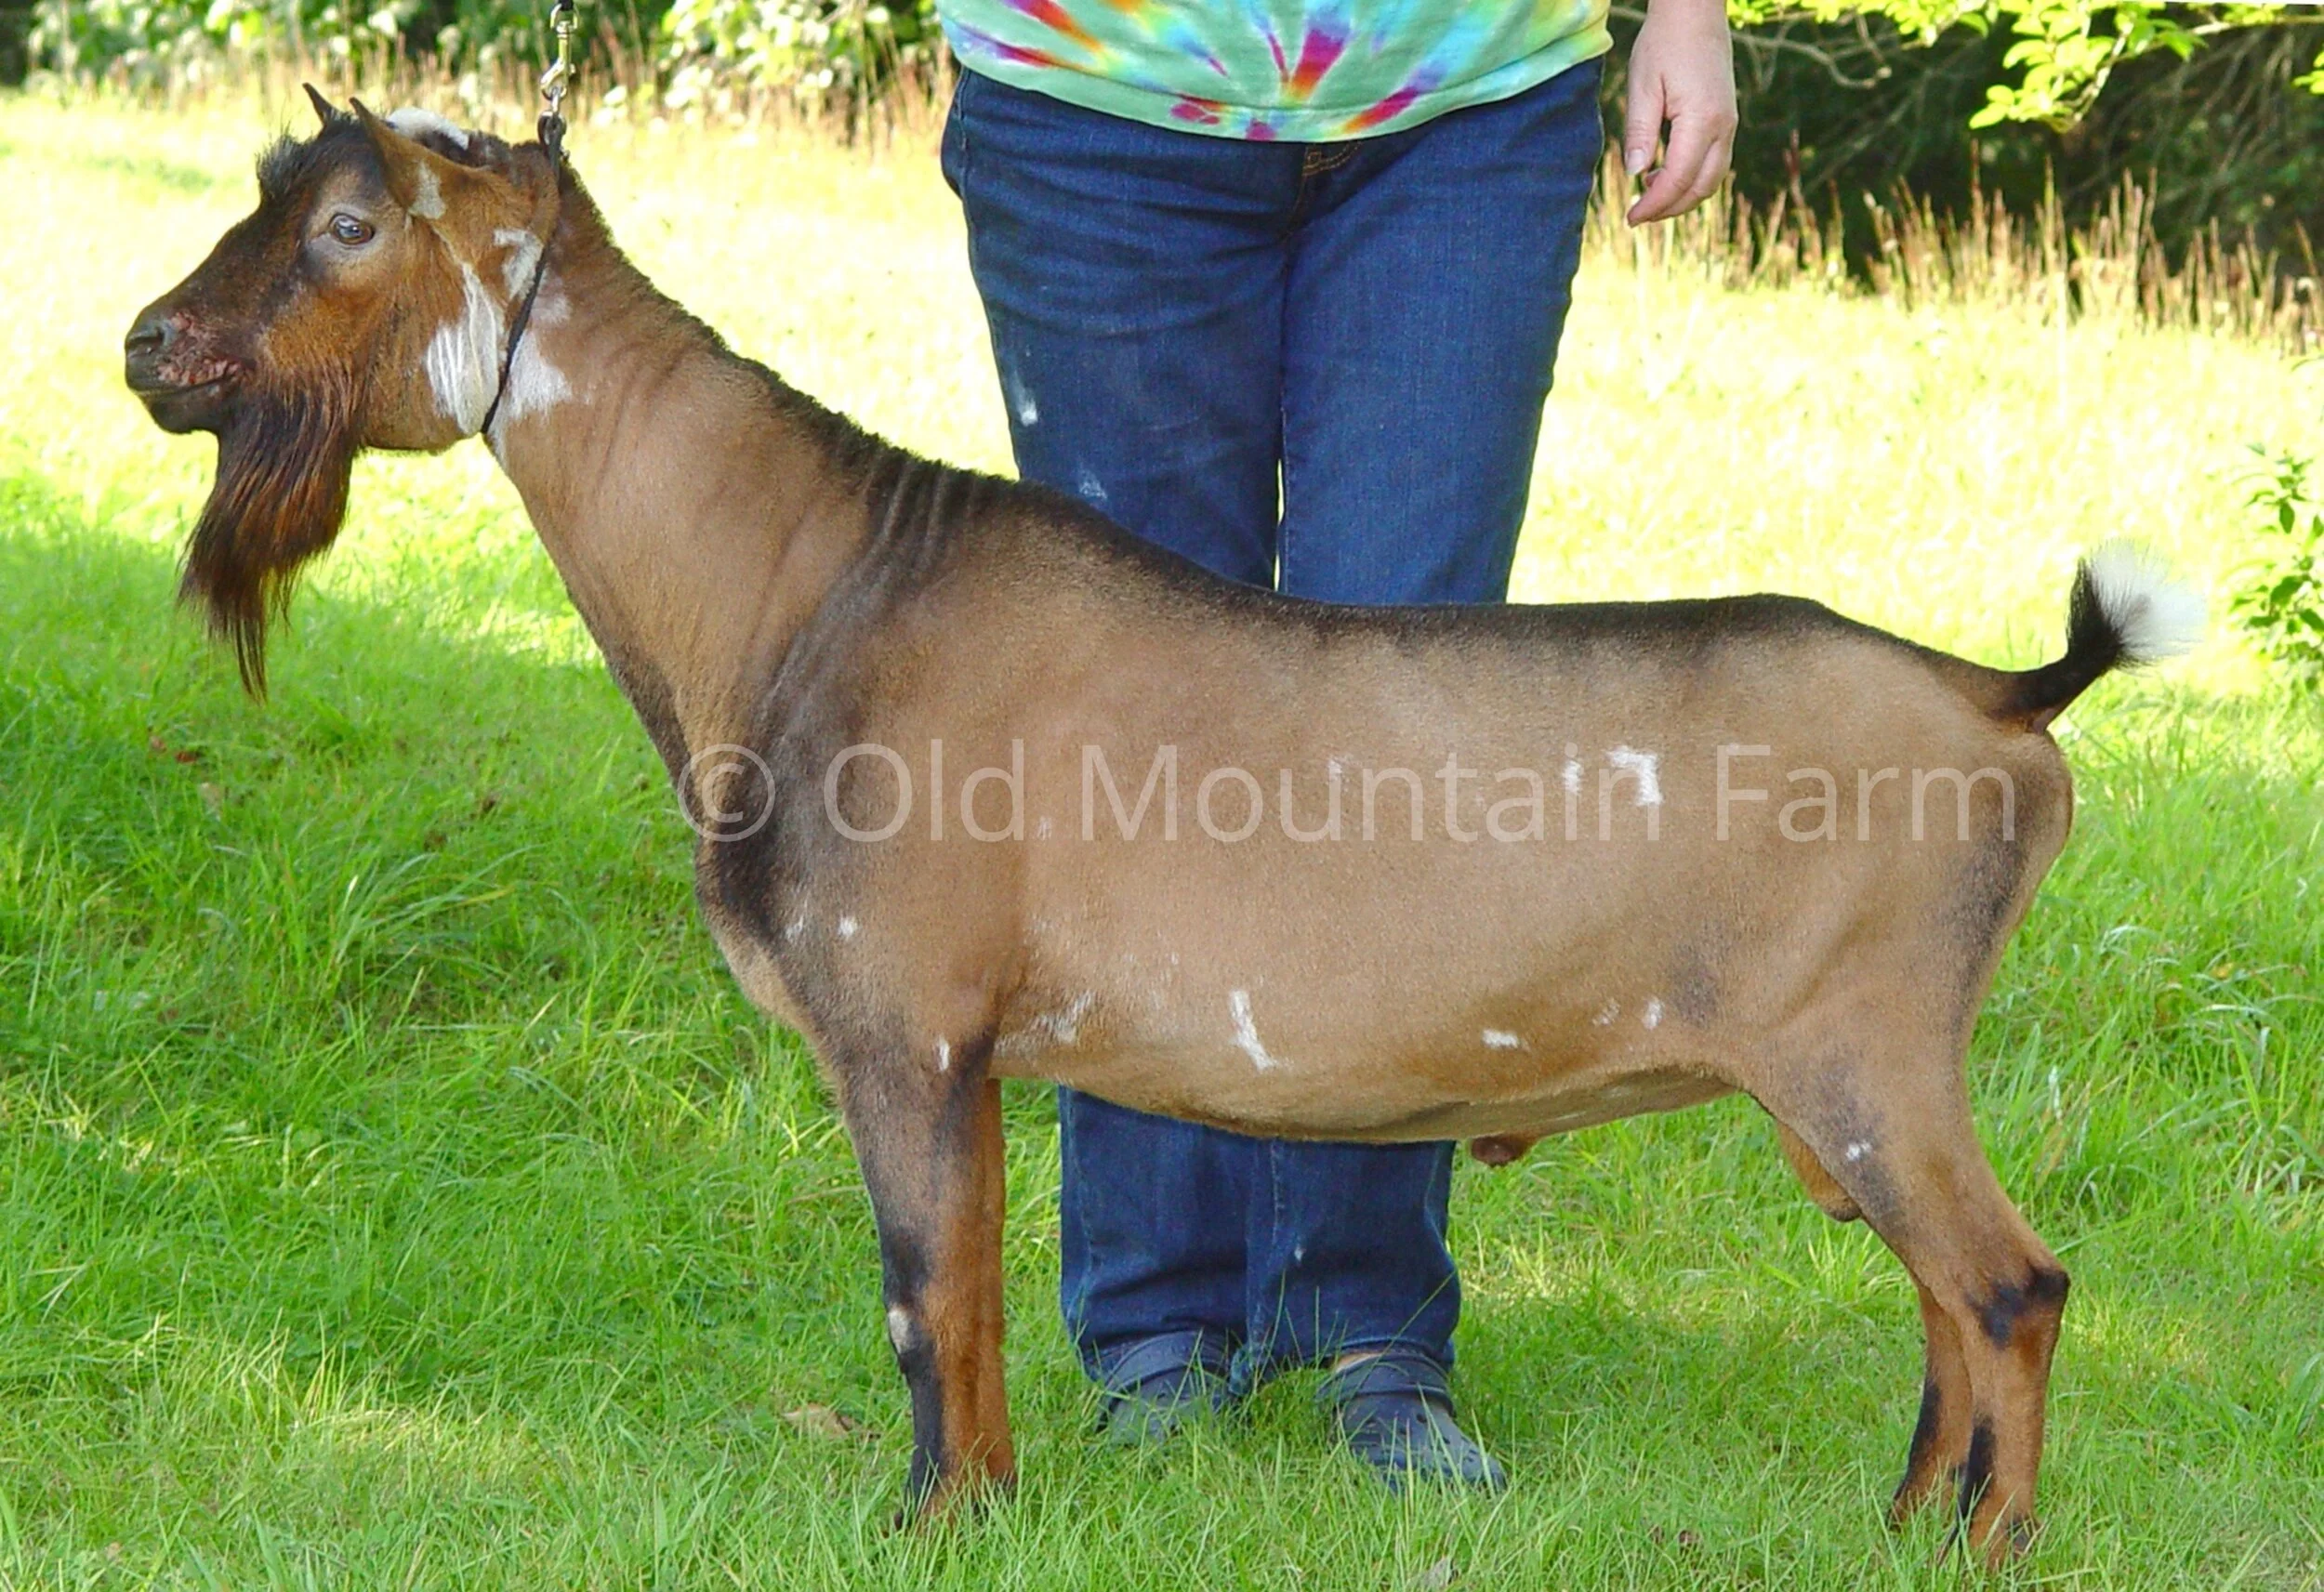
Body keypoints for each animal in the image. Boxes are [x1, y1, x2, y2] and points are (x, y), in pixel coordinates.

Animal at [123, 94, 2202, 1564]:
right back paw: (1903, 1528)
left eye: (344, 223)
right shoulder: (966, 1048)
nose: (151, 345)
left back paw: (1989, 1547)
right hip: (1845, 1070)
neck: (808, 585)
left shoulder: (895, 1019)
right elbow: (971, 1288)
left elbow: (915, 1291)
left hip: (1864, 1041)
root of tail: (1997, 697)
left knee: (2007, 1285)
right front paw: (990, 1505)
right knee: (1945, 1298)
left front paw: (922, 1521)